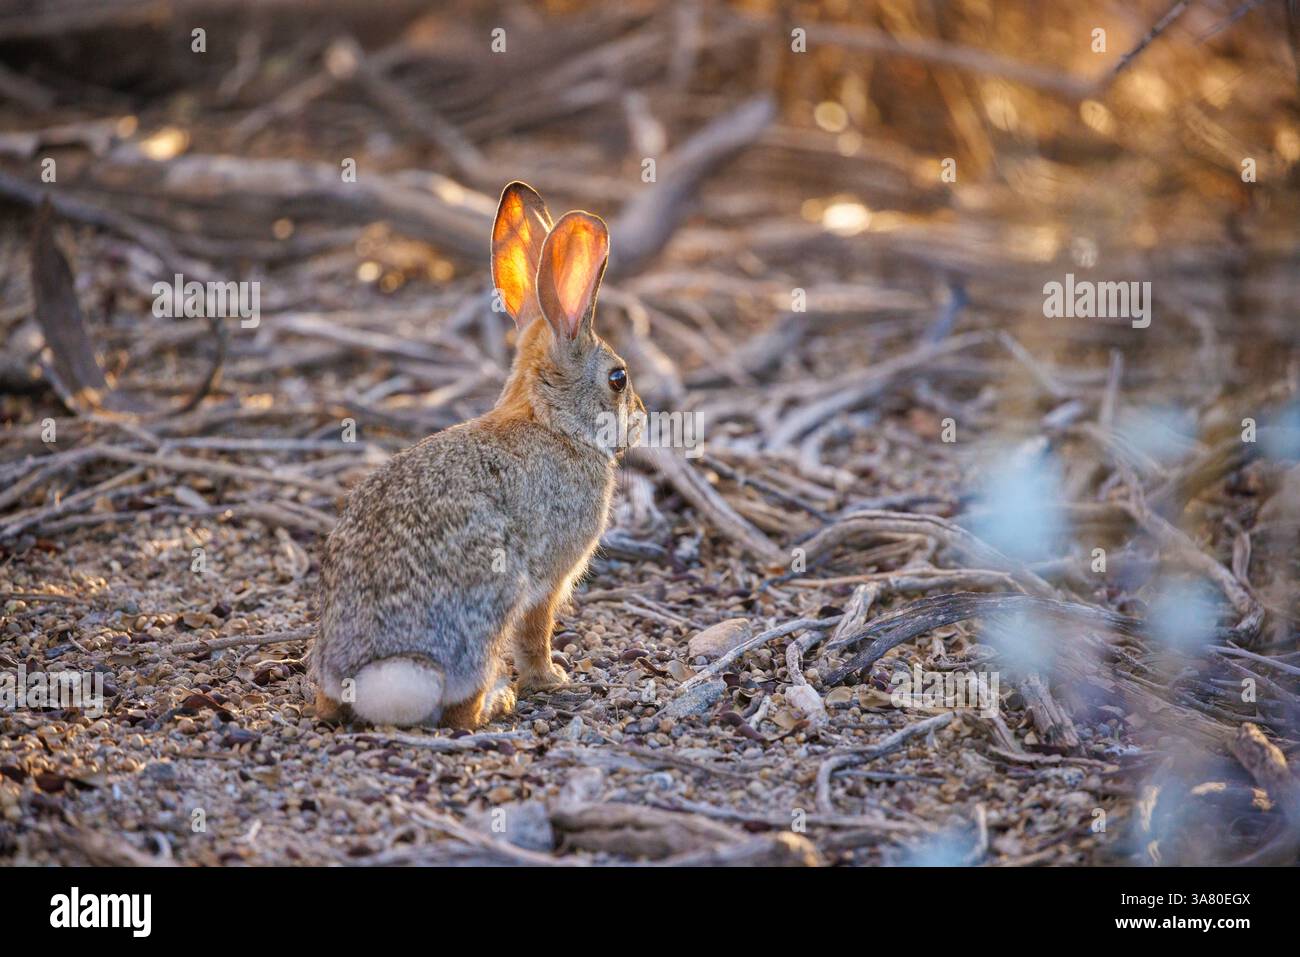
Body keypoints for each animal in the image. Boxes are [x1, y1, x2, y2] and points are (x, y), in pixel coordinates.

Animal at [309, 181, 644, 728]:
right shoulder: (549, 580)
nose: (641, 417)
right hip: (494, 596)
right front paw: (552, 678)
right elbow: (536, 634)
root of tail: (377, 672)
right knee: (462, 708)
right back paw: (497, 700)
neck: (551, 422)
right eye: (618, 379)